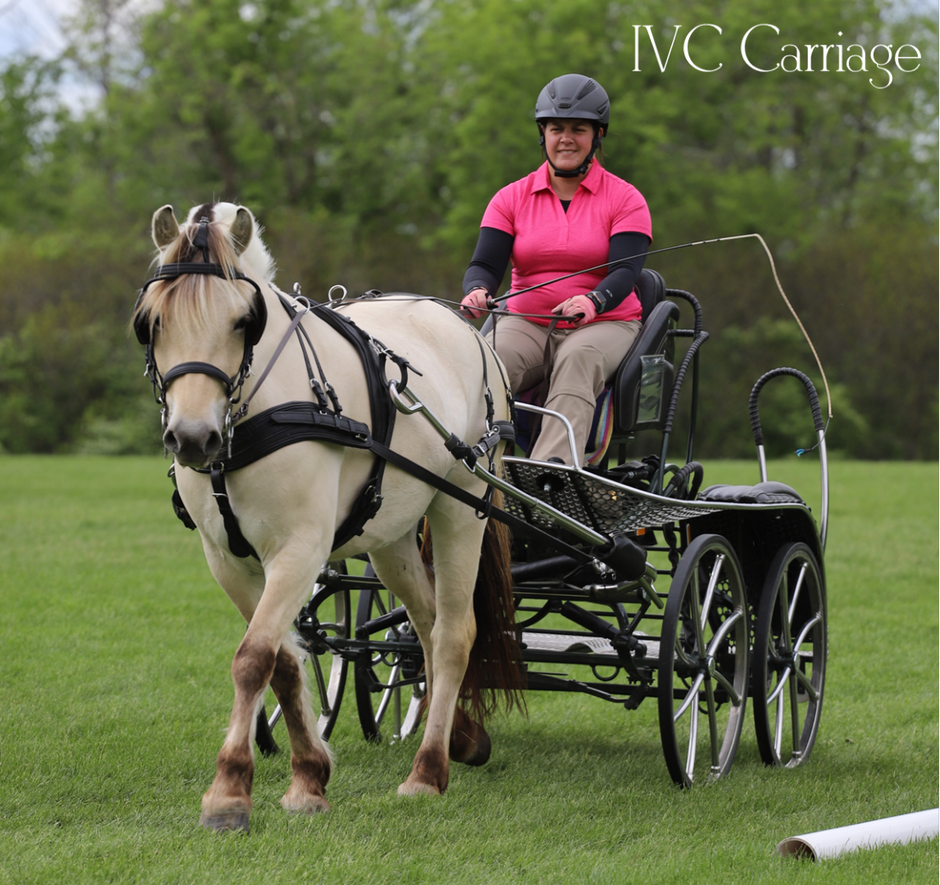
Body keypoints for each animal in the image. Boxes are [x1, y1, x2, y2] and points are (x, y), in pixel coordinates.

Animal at [133, 201, 521, 832]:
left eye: (244, 321)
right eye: (151, 322)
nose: (192, 438)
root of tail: (464, 326)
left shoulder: (299, 549)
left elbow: (254, 658)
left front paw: (229, 792)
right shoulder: (227, 560)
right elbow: (286, 660)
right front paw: (309, 778)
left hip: (463, 502)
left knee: (454, 632)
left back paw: (428, 770)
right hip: (390, 534)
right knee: (425, 620)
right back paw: (460, 737)